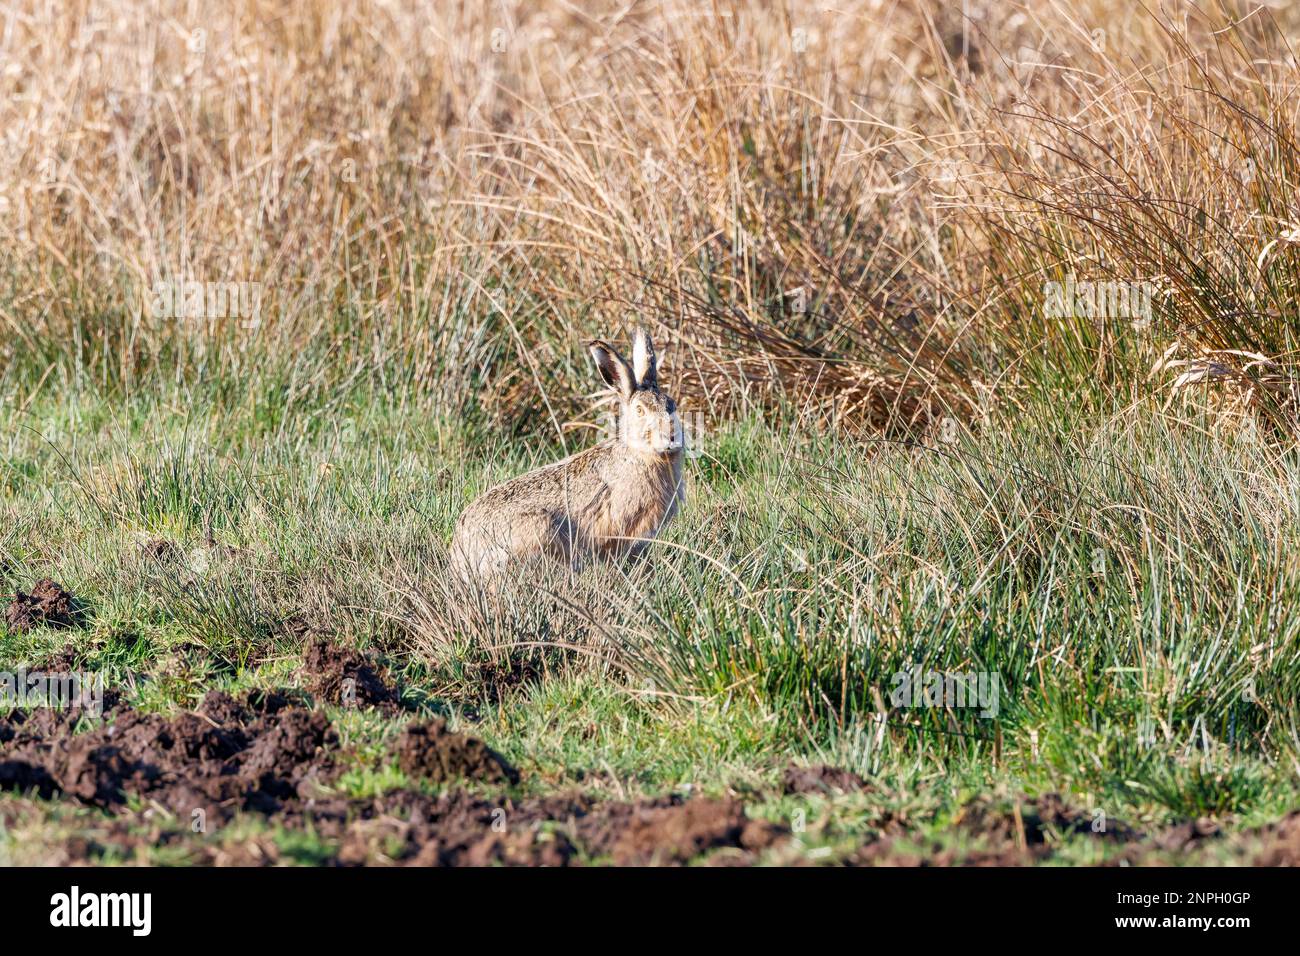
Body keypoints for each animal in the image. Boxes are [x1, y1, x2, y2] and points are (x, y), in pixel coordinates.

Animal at [451, 329, 686, 580]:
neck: (639, 453)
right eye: (640, 410)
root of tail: (460, 561)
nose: (672, 436)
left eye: (672, 405)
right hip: (539, 529)